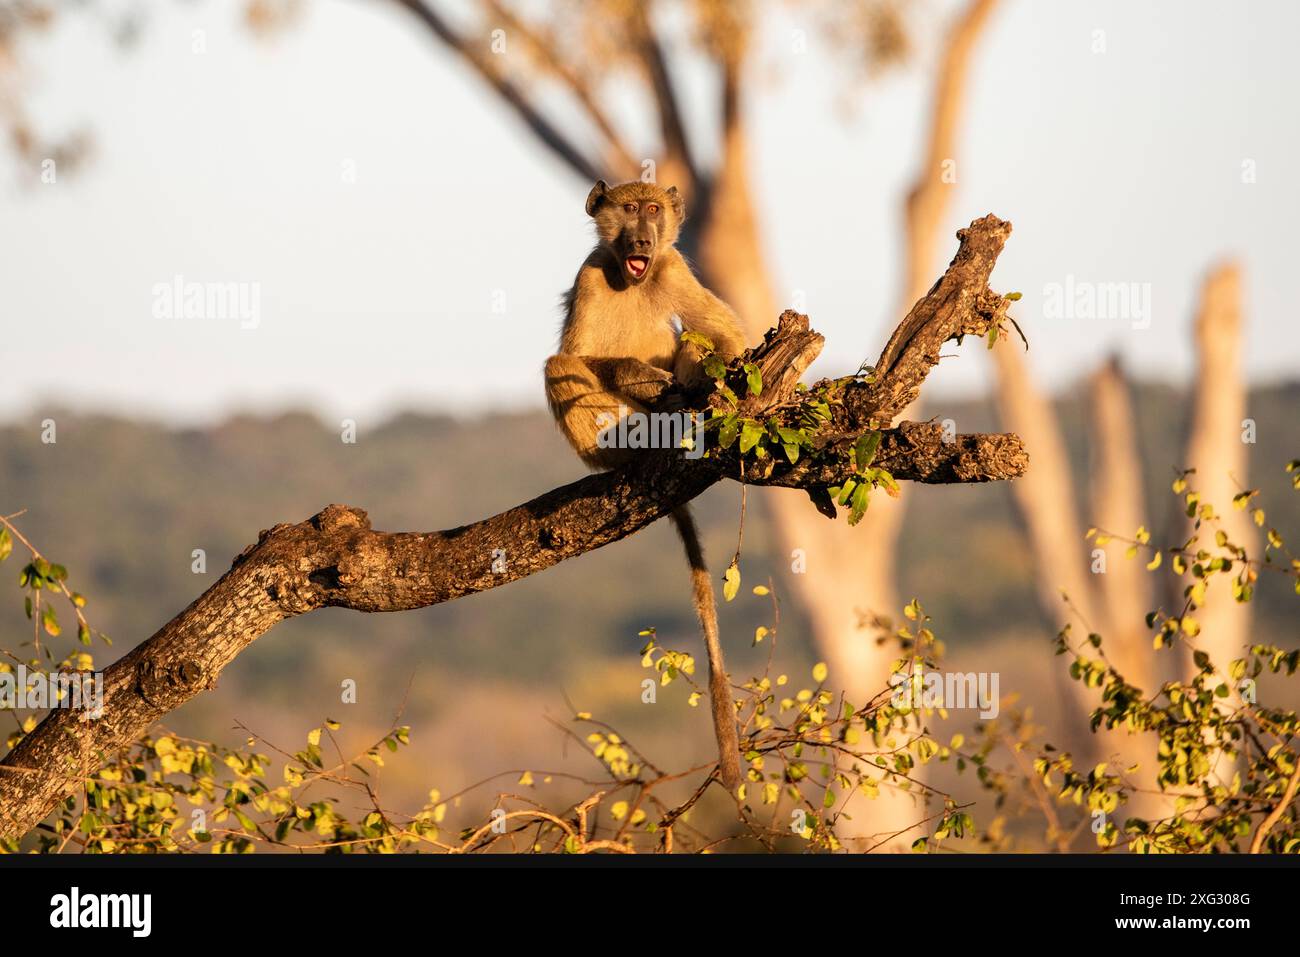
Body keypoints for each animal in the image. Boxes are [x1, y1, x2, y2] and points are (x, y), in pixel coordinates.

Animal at [544, 179, 747, 793]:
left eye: (653, 209)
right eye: (629, 208)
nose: (640, 237)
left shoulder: (674, 267)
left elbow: (728, 336)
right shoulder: (590, 276)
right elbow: (580, 356)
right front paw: (649, 380)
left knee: (698, 338)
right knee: (559, 364)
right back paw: (629, 449)